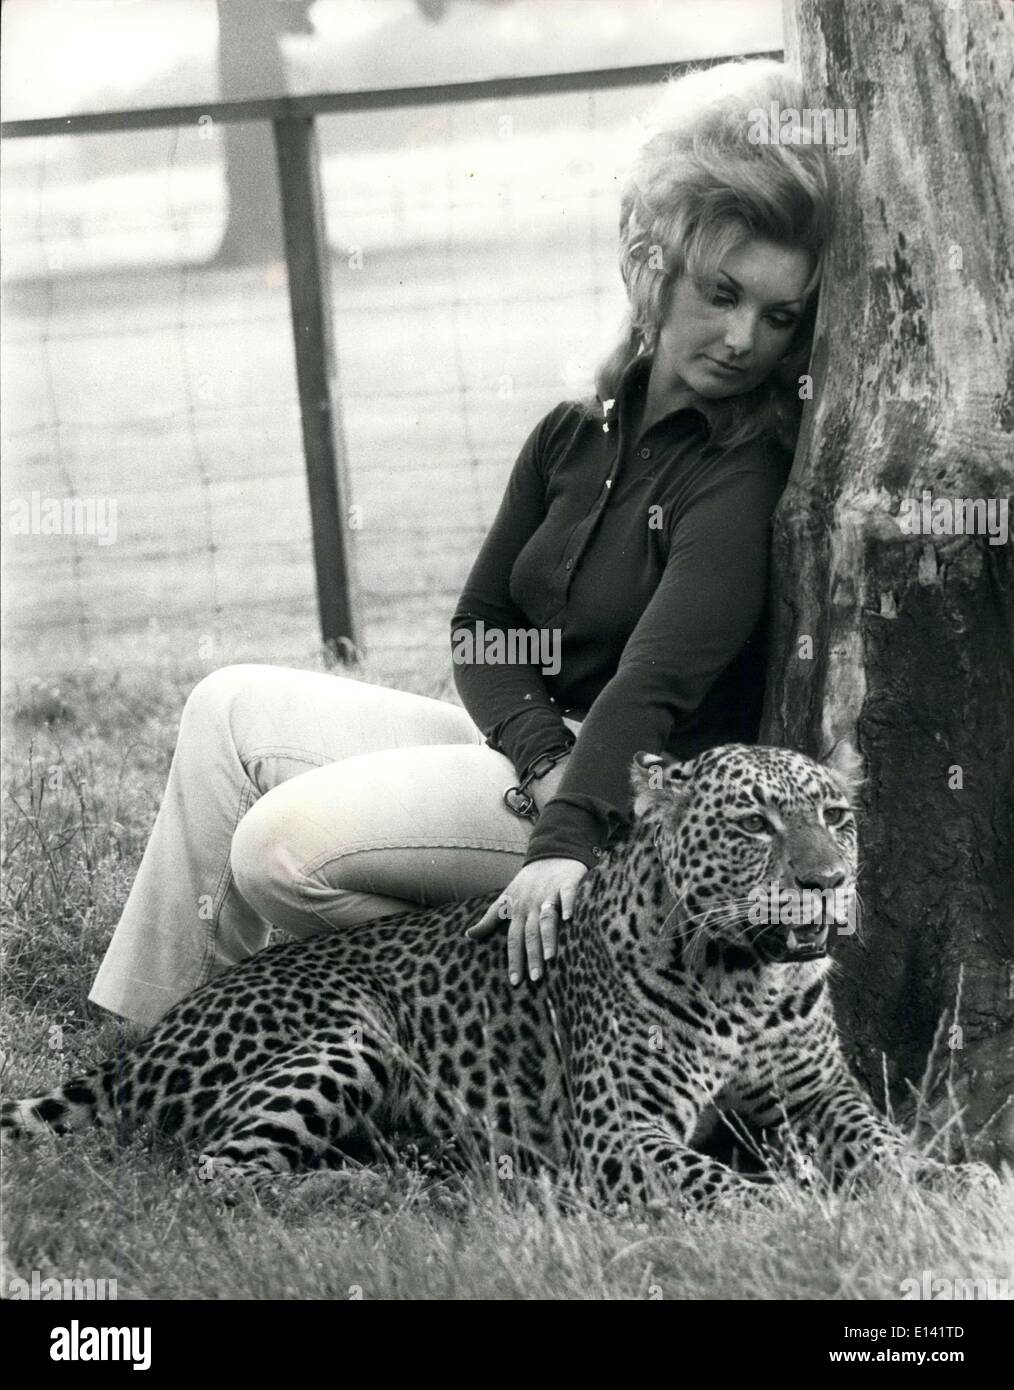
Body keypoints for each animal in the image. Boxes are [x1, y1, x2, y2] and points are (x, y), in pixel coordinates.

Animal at [1, 739, 995, 1206]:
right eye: (753, 823)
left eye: (837, 815)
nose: (826, 884)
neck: (746, 980)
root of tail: (141, 1045)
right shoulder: (622, 1132)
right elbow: (721, 1181)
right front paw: (794, 1205)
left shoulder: (818, 1091)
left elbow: (880, 1141)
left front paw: (944, 1183)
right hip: (351, 1033)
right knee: (221, 1170)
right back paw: (369, 1187)